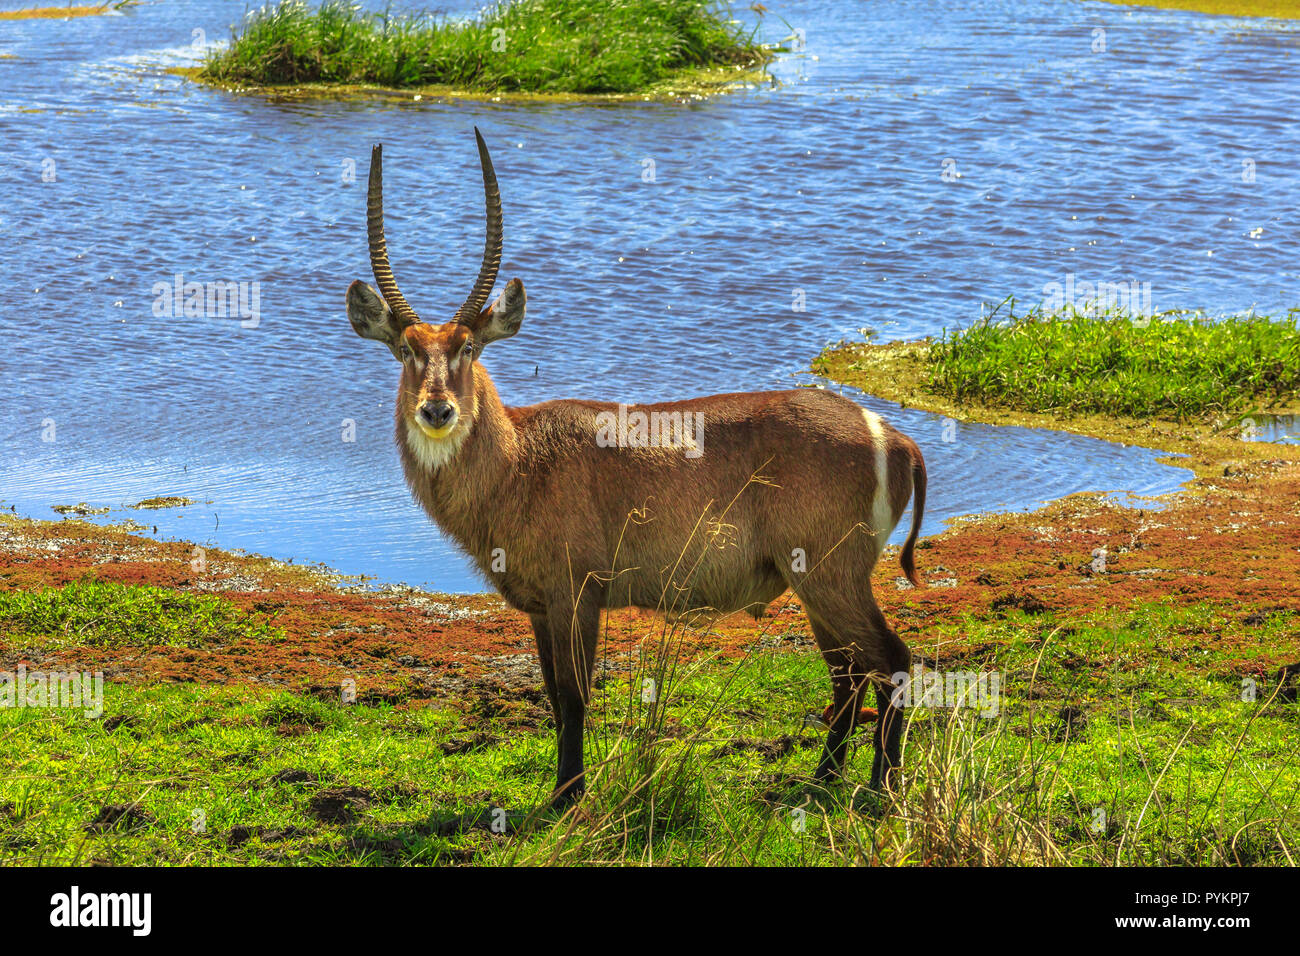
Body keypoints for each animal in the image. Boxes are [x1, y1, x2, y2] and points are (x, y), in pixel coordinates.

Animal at [345, 129, 928, 808]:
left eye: (468, 347)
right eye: (406, 350)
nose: (437, 410)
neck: (520, 458)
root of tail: (892, 434)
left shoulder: (577, 592)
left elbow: (574, 697)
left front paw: (566, 798)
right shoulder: (540, 606)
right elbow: (554, 697)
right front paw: (566, 789)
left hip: (831, 576)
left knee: (892, 663)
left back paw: (882, 790)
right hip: (816, 585)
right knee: (849, 677)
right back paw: (818, 783)